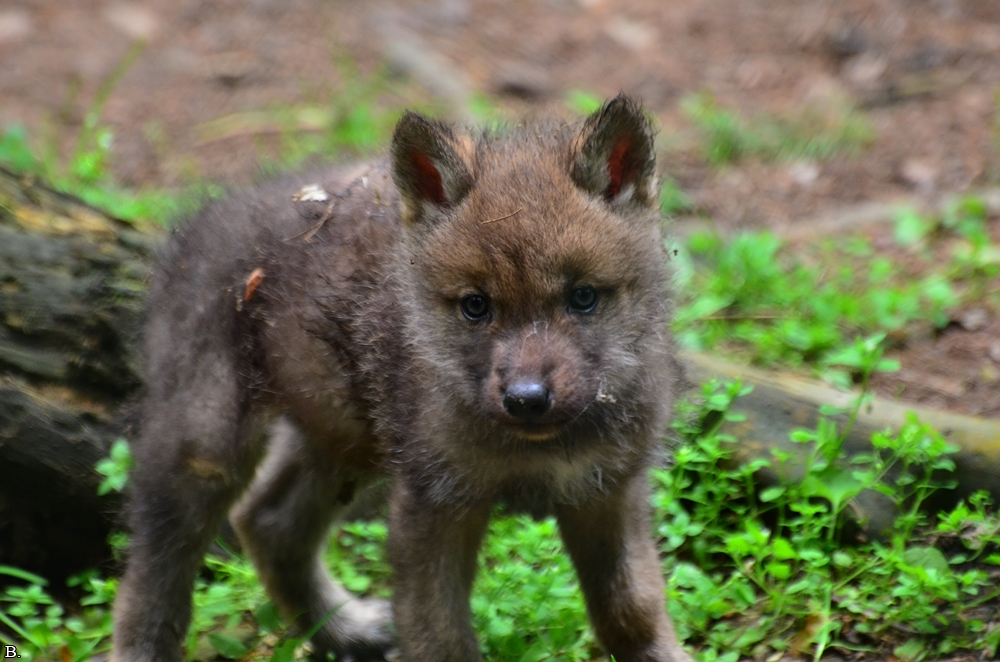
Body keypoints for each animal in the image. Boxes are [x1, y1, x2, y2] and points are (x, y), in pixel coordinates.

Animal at [111, 94, 692, 662]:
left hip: (340, 436)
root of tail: (202, 220)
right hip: (207, 444)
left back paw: (344, 631)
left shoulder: (608, 491)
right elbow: (439, 636)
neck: (540, 450)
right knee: (151, 568)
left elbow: (631, 611)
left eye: (583, 297)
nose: (527, 399)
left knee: (267, 521)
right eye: (476, 306)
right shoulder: (433, 503)